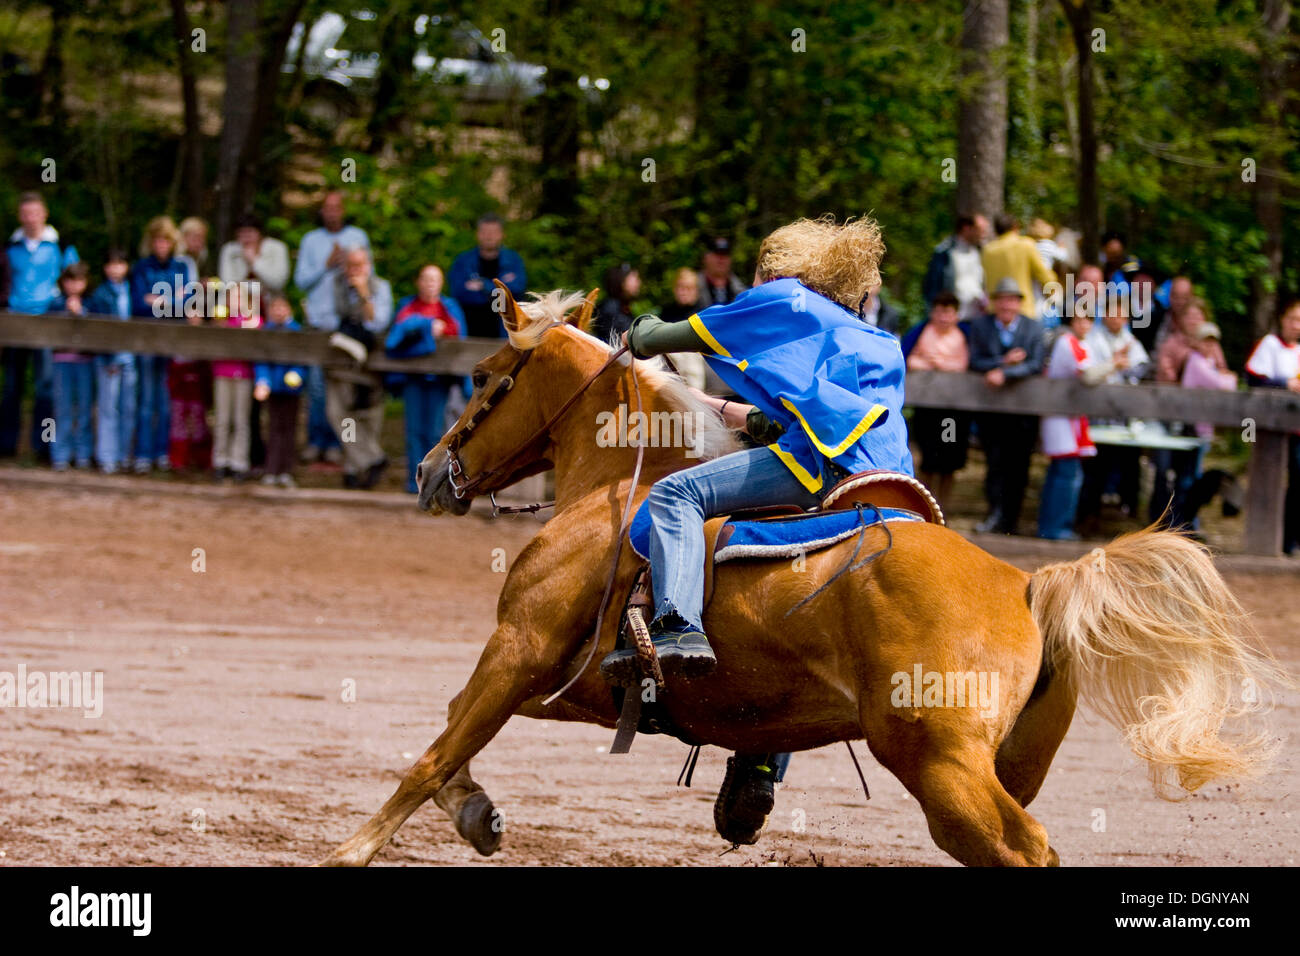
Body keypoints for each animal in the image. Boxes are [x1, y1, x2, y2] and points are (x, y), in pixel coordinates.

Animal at [323, 283, 1286, 867]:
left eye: (487, 374)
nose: (430, 471)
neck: (614, 491)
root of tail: (1027, 587)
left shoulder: (520, 649)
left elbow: (432, 752)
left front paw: (353, 849)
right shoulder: (563, 680)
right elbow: (454, 736)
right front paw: (478, 814)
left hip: (943, 767)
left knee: (1023, 849)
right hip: (1003, 763)